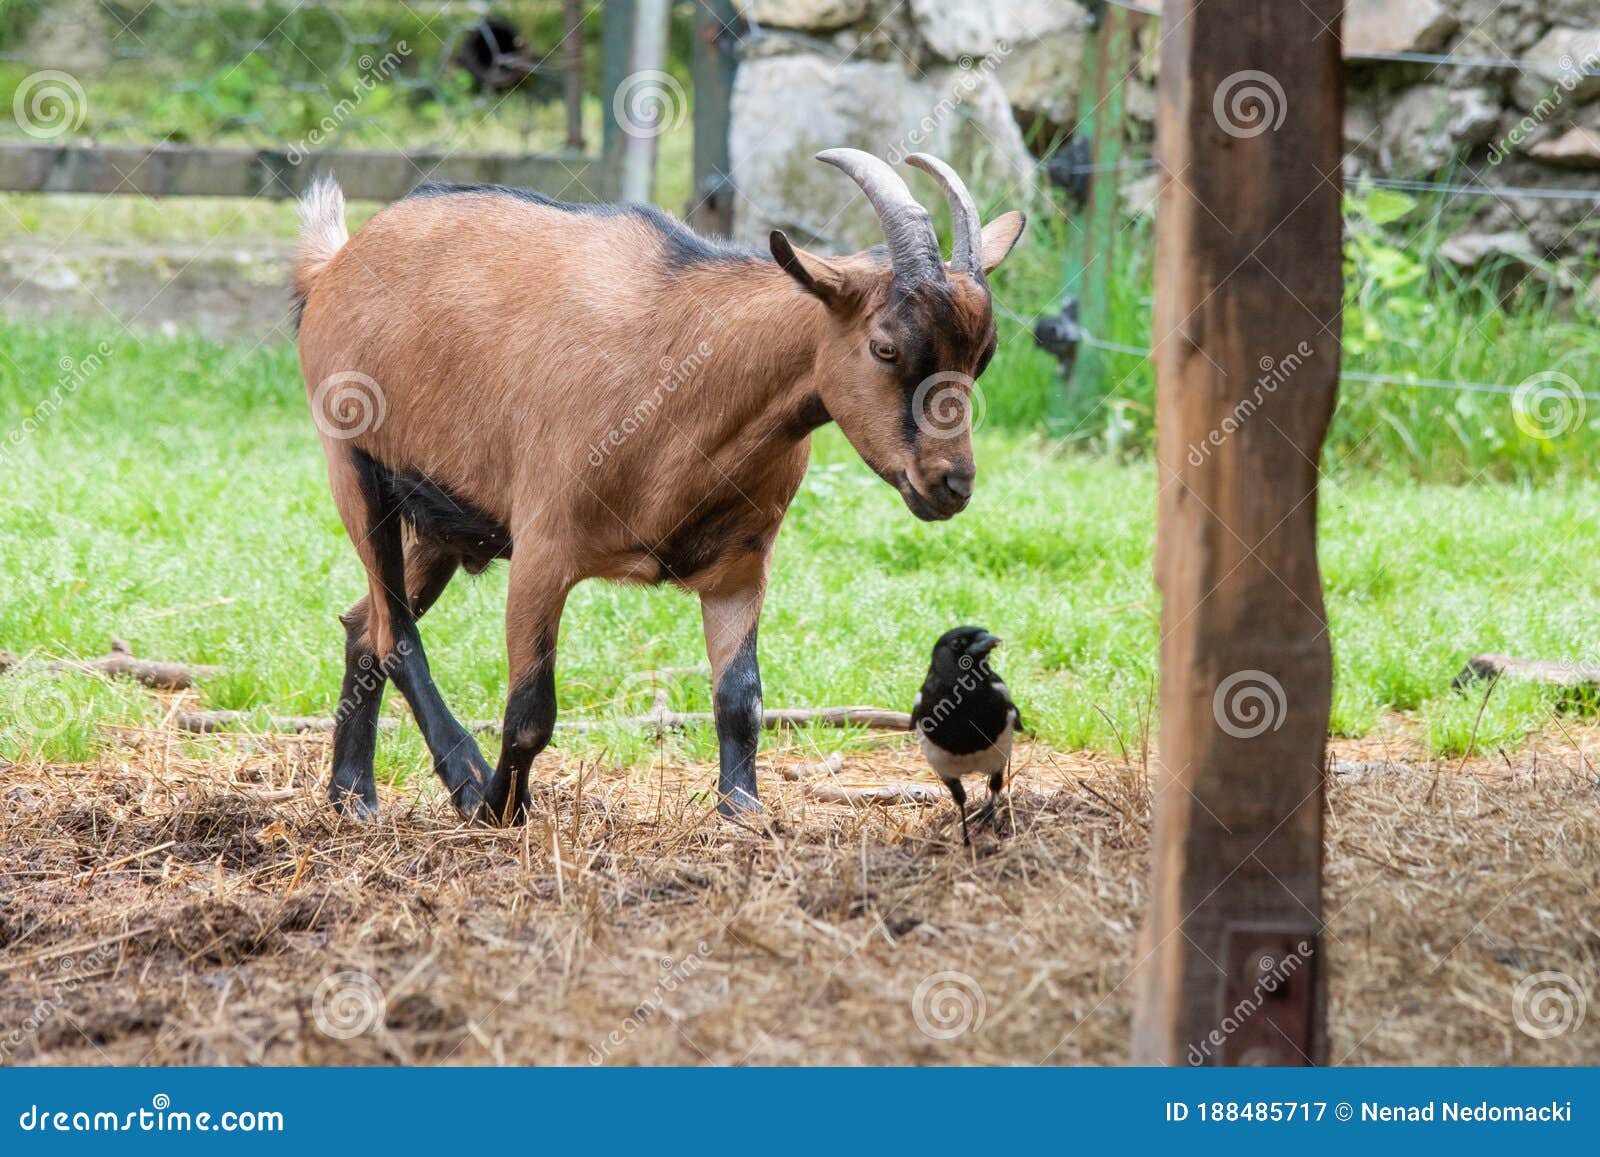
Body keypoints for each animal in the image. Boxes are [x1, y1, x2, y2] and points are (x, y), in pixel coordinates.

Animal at [293, 148, 1025, 825]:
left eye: (983, 356)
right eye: (885, 347)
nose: (950, 483)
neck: (684, 375)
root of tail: (333, 264)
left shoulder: (740, 566)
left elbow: (741, 699)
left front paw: (742, 810)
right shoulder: (543, 550)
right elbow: (531, 710)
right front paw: (502, 806)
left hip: (443, 521)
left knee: (362, 626)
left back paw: (352, 795)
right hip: (354, 470)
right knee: (393, 633)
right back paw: (460, 780)